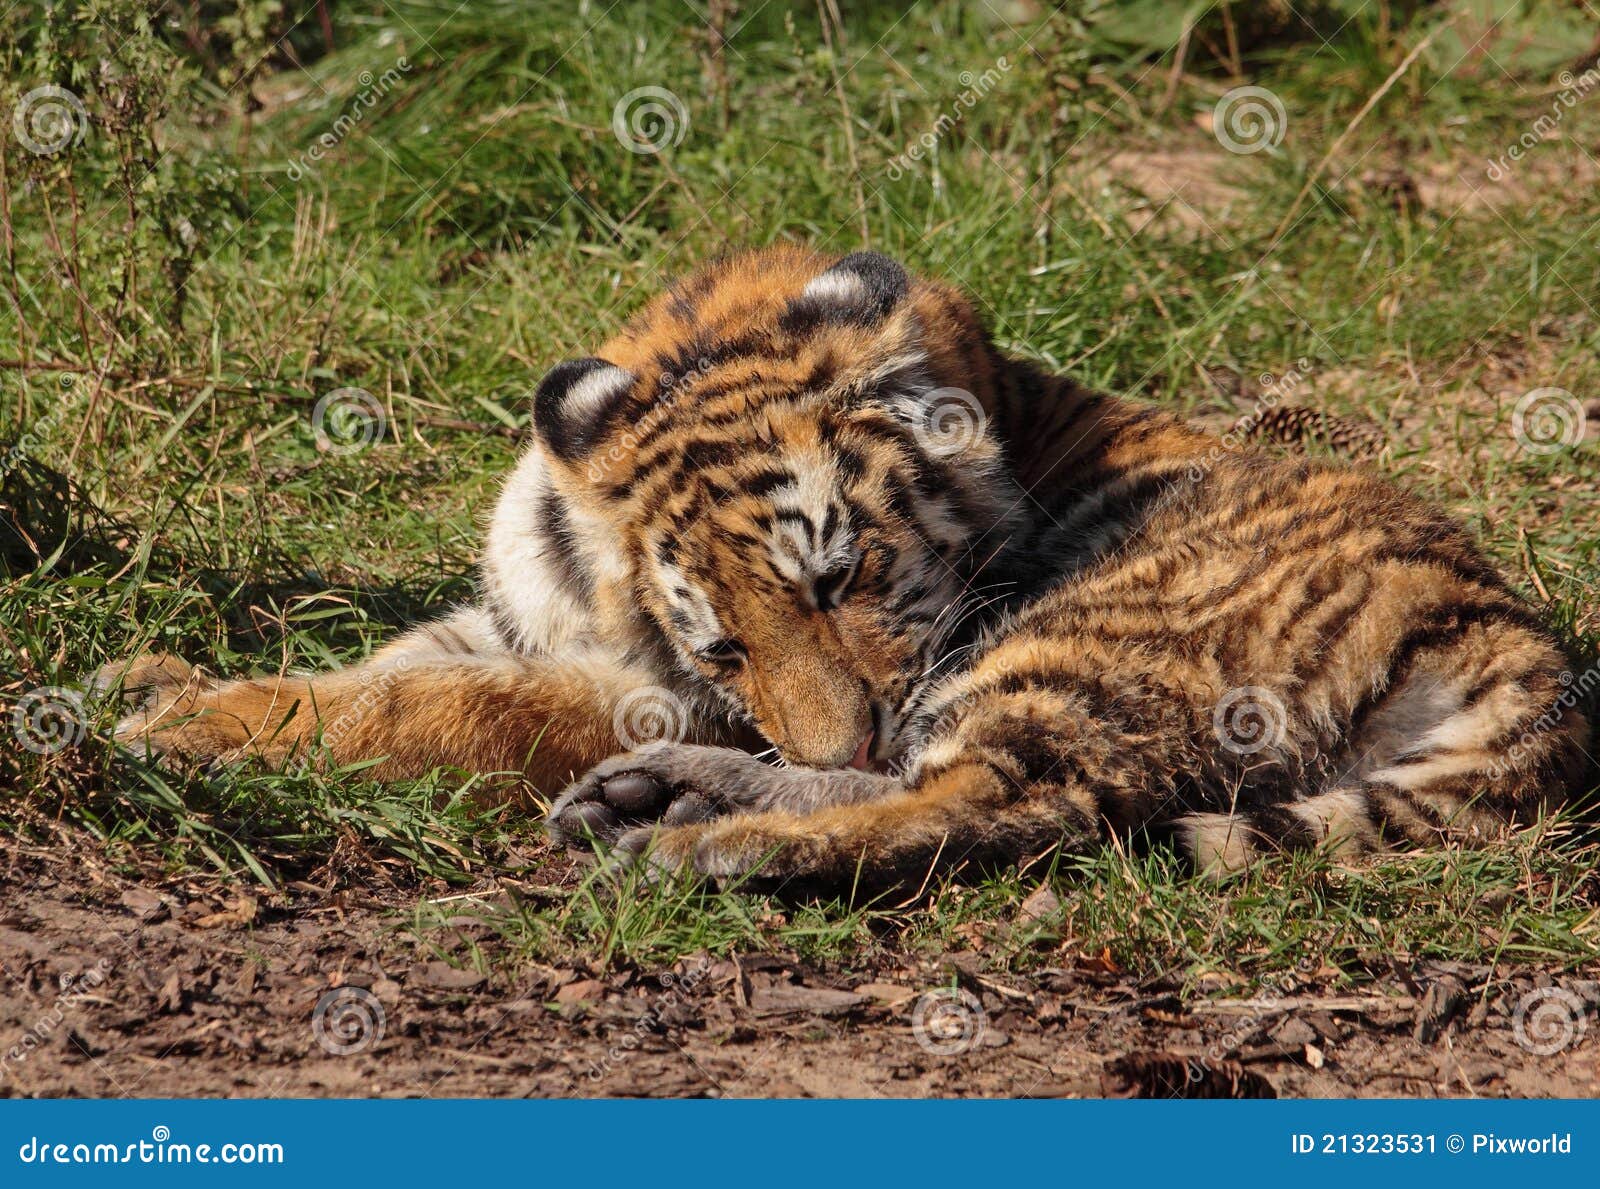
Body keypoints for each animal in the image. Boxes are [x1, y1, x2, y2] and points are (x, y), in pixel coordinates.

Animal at [107, 245, 1591, 893]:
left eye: (838, 581)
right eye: (721, 640)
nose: (834, 727)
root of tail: (1515, 636)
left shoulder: (613, 685)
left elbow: (428, 703)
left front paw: (170, 730)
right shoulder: (549, 626)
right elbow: (396, 659)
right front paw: (157, 681)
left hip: (1073, 638)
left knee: (1005, 803)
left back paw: (704, 842)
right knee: (938, 781)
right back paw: (656, 800)